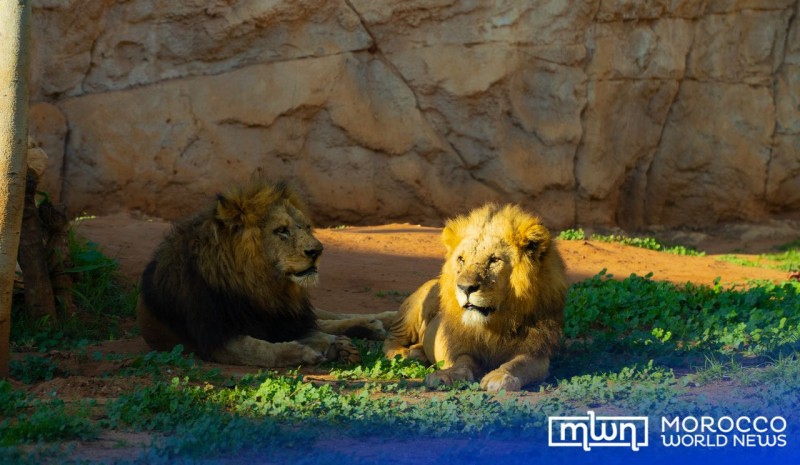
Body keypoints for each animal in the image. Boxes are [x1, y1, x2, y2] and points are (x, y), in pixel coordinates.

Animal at [136, 180, 395, 367]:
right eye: (281, 230)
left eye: (306, 227)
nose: (317, 251)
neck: (261, 285)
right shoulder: (217, 337)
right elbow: (260, 348)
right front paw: (307, 352)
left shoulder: (280, 319)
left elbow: (312, 328)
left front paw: (335, 345)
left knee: (327, 317)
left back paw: (379, 321)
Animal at [383, 203, 567, 391]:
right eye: (461, 259)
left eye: (494, 260)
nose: (465, 288)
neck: (494, 325)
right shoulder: (462, 348)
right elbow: (462, 363)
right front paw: (444, 375)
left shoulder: (537, 351)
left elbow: (519, 363)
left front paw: (500, 376)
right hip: (418, 305)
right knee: (391, 338)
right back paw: (404, 354)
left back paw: (417, 352)